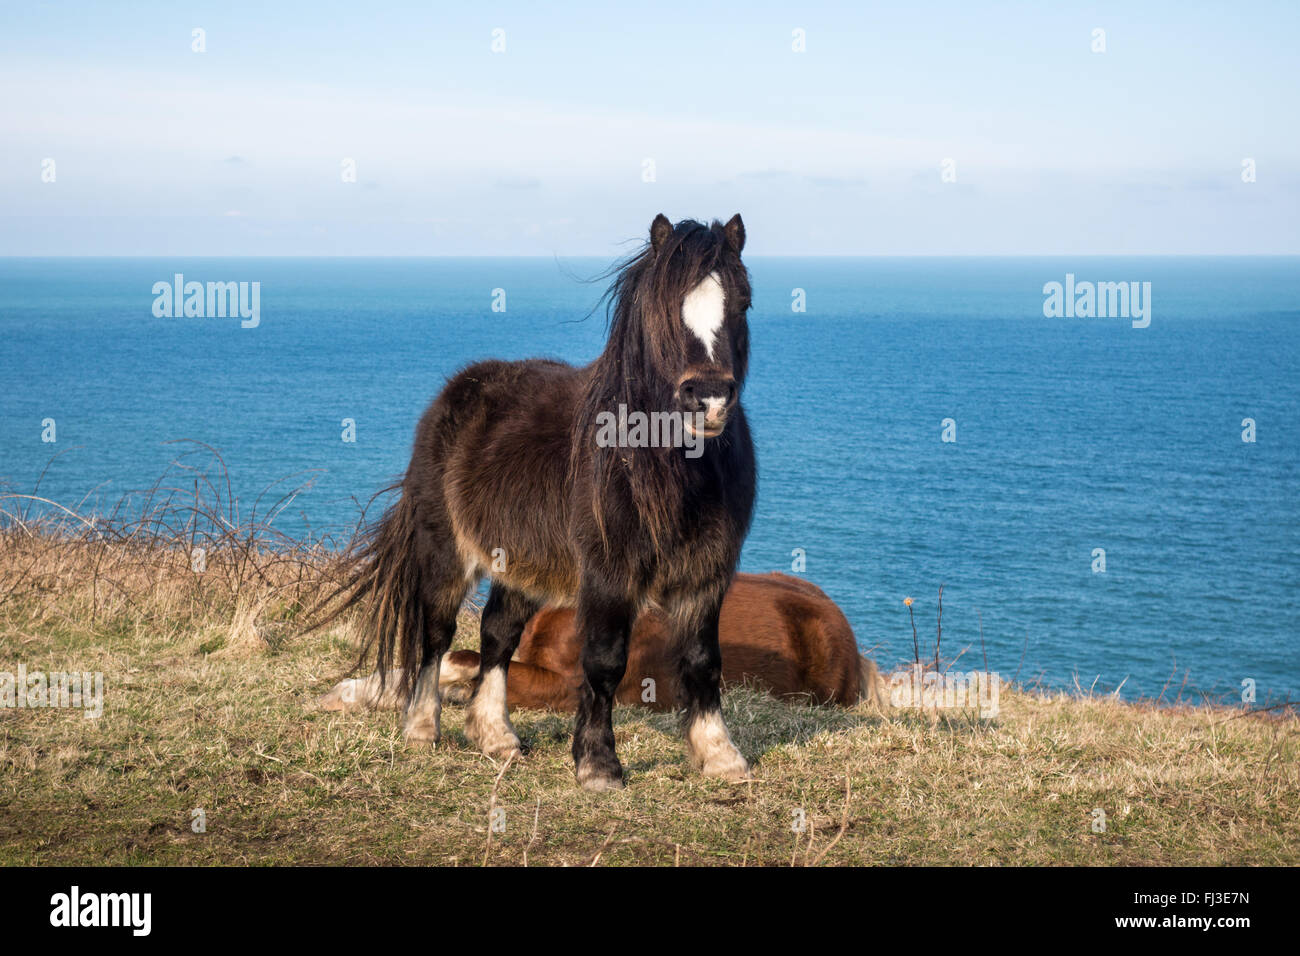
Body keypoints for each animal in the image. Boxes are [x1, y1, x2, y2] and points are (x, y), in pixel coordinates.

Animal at [316, 214, 756, 790]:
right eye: (664, 307)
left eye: (743, 302)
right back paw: (421, 727)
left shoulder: (709, 572)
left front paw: (720, 754)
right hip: (446, 552)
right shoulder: (608, 574)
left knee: (498, 634)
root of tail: (458, 392)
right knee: (436, 633)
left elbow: (704, 660)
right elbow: (604, 662)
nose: (708, 399)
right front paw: (598, 764)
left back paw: (495, 736)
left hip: (521, 565)